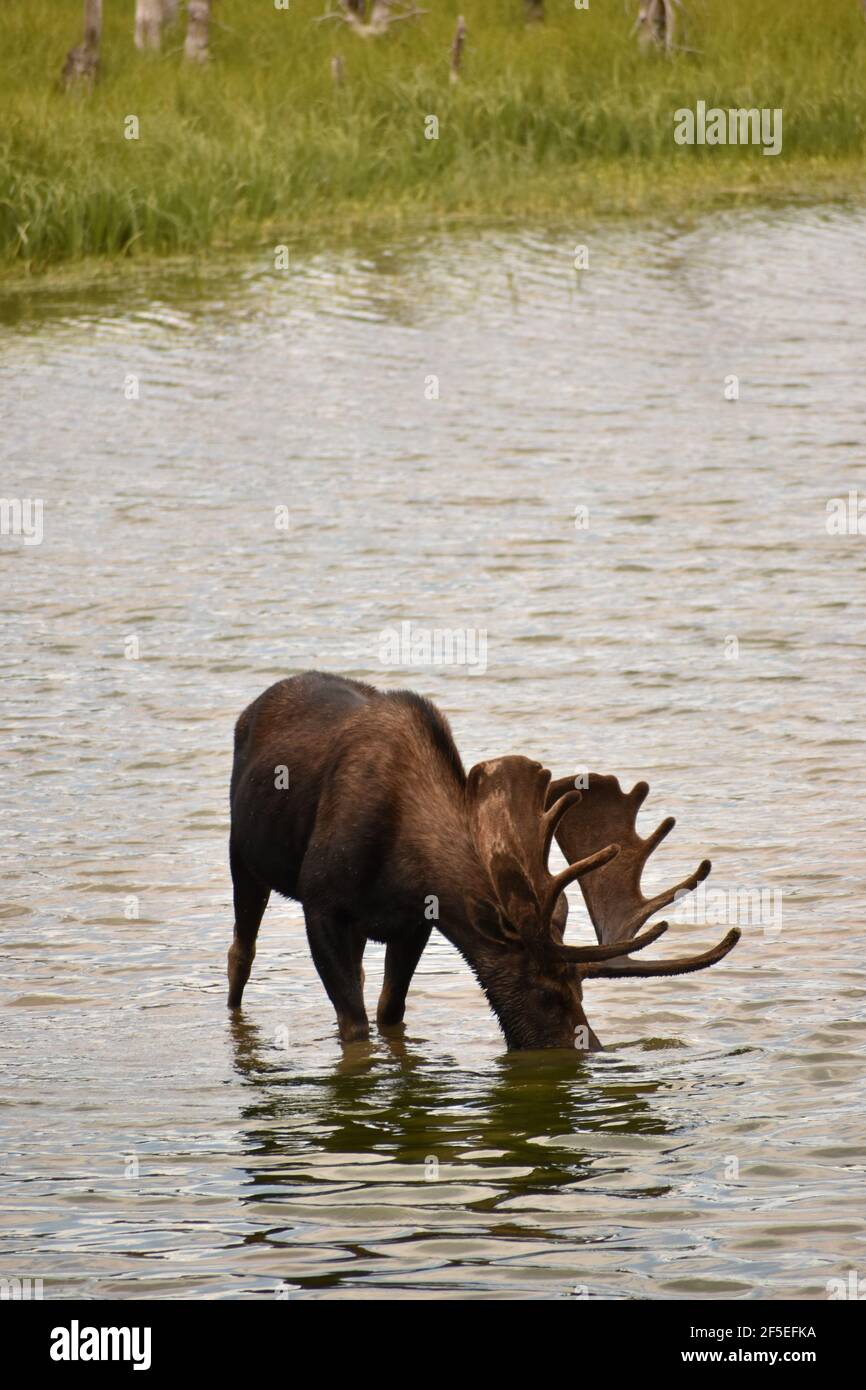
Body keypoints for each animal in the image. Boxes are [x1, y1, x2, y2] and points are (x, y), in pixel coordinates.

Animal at [227, 672, 740, 1050]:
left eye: (580, 990)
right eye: (548, 994)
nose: (590, 1048)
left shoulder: (415, 923)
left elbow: (390, 1013)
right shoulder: (322, 905)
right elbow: (354, 1027)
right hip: (242, 855)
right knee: (240, 954)